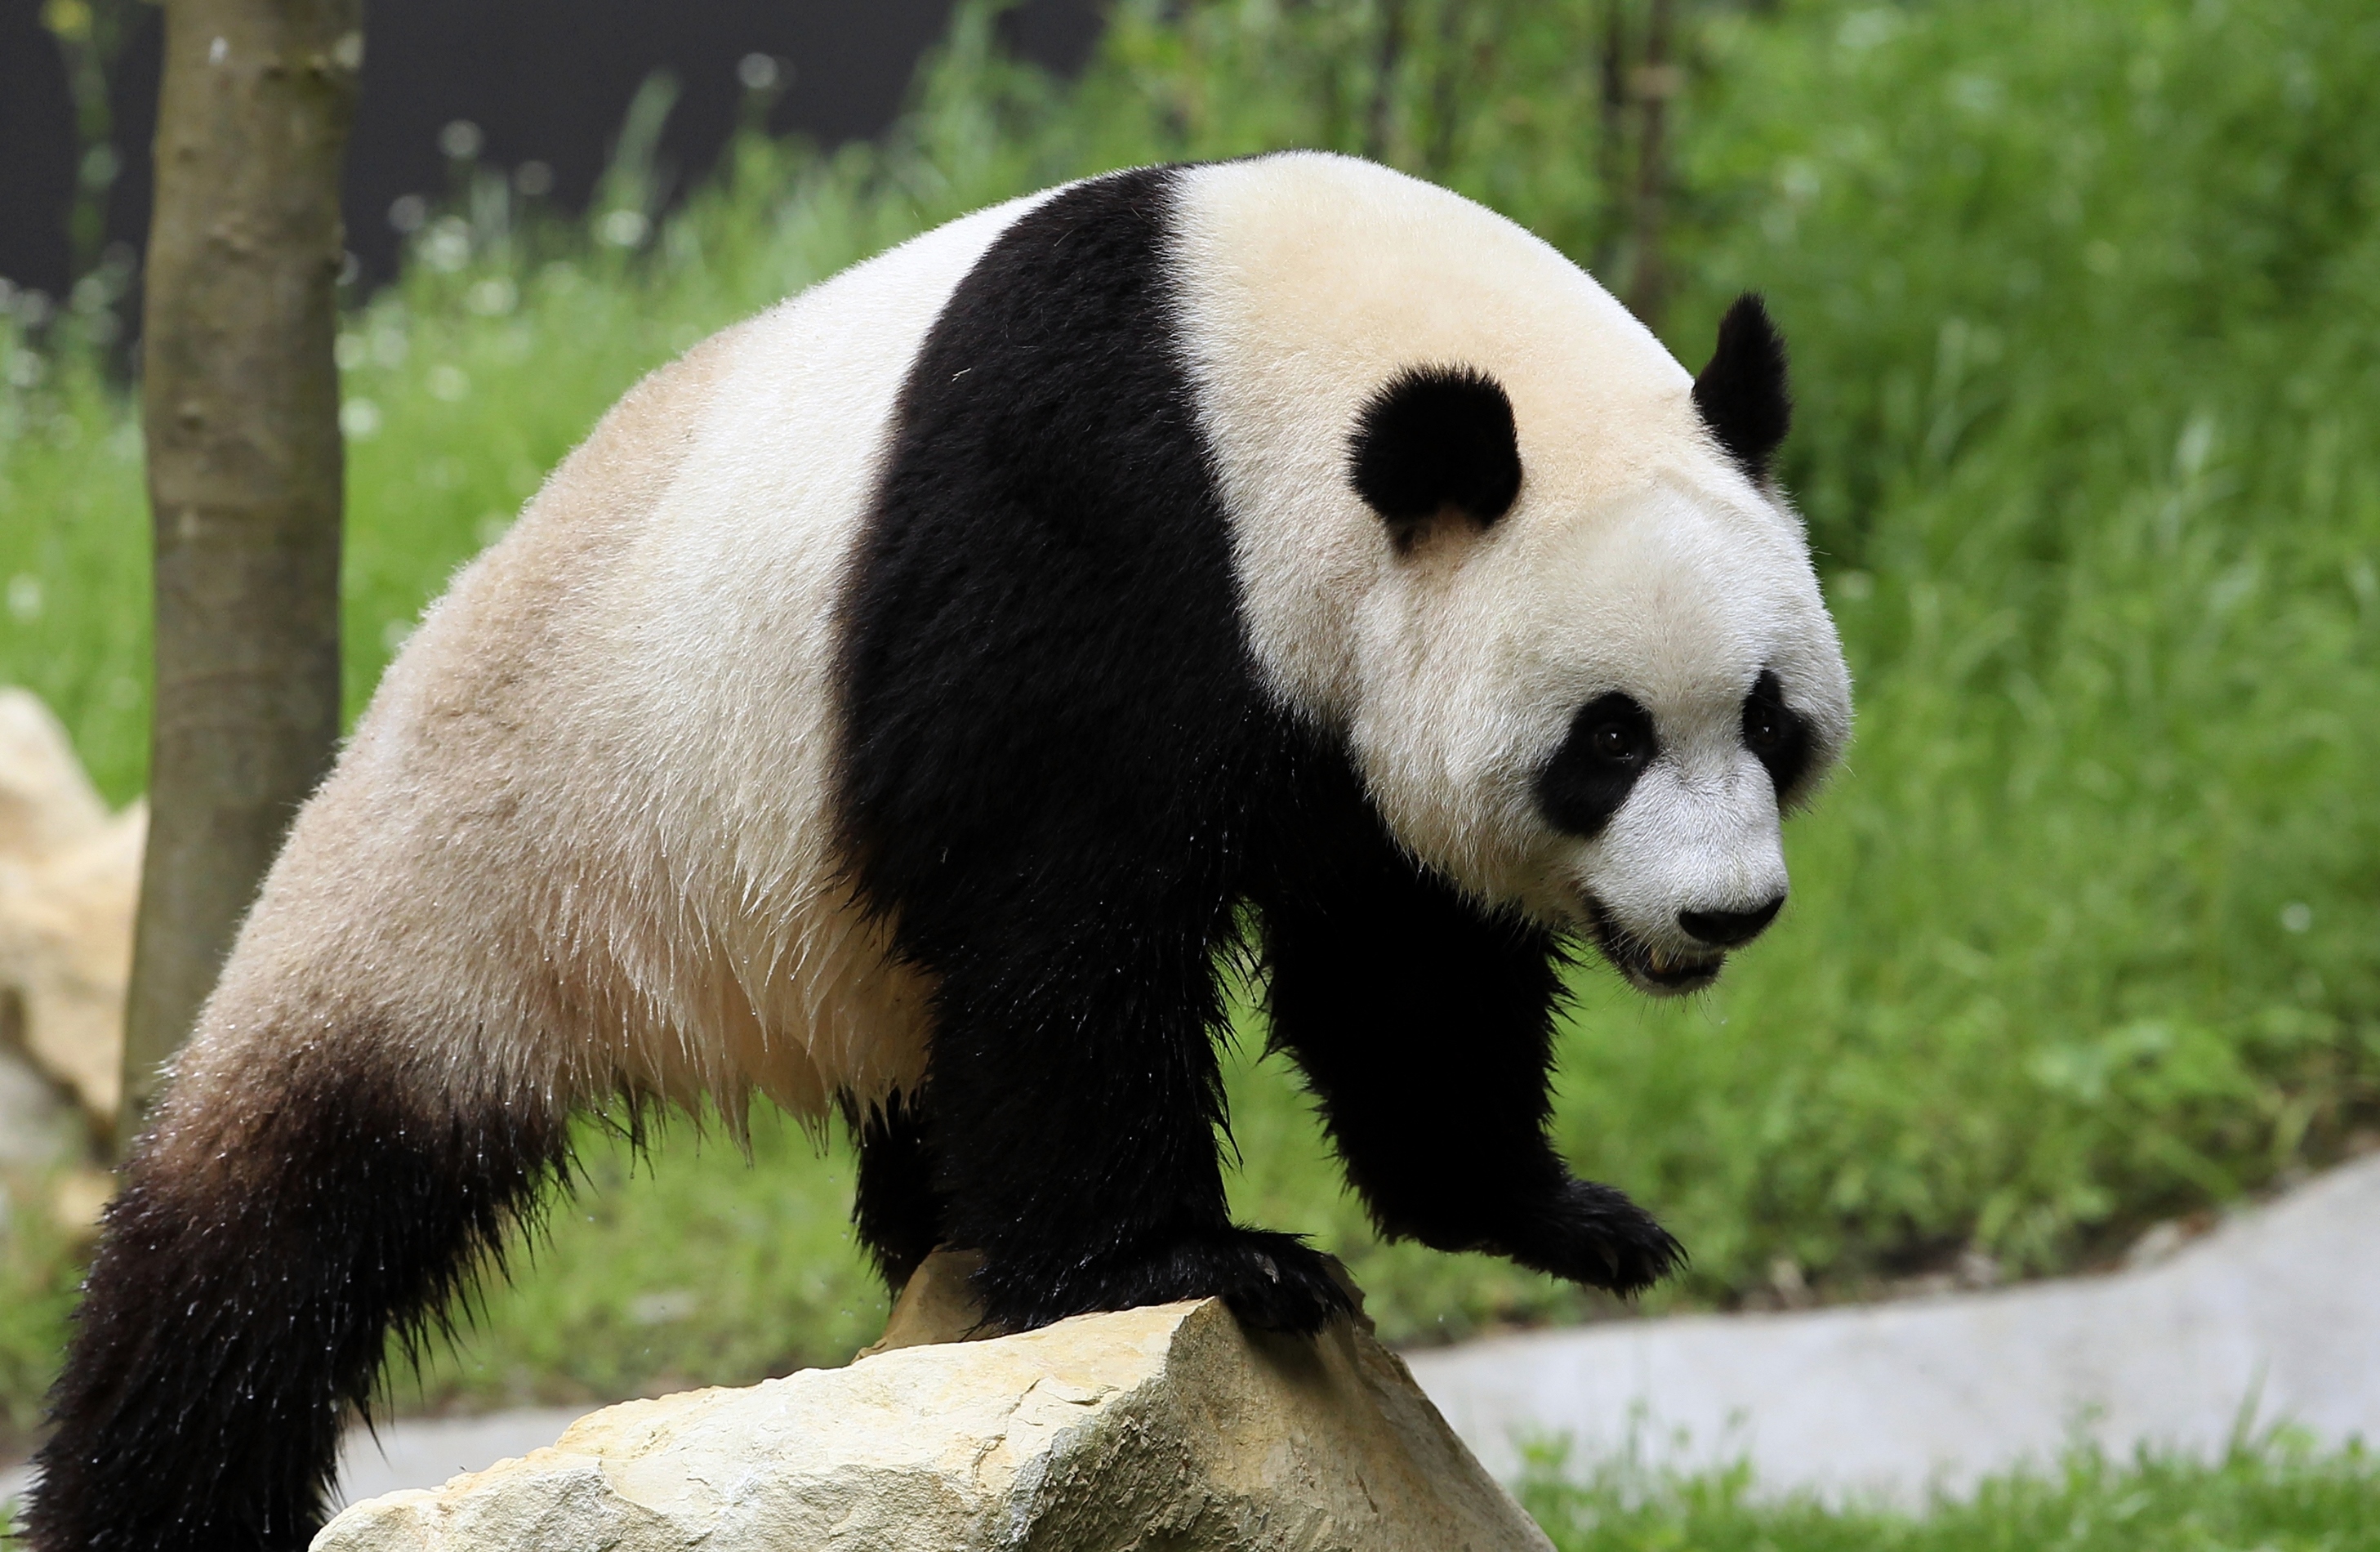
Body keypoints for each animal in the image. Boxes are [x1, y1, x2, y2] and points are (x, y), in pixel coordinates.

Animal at [28, 151, 1849, 1551]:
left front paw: (1562, 1216)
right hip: (465, 895)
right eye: (1604, 739)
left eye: (1767, 718)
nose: (1725, 913)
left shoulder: (1323, 711)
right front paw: (1198, 1263)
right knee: (254, 1263)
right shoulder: (1095, 535)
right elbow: (1062, 925)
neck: (1249, 348)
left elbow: (1399, 962)